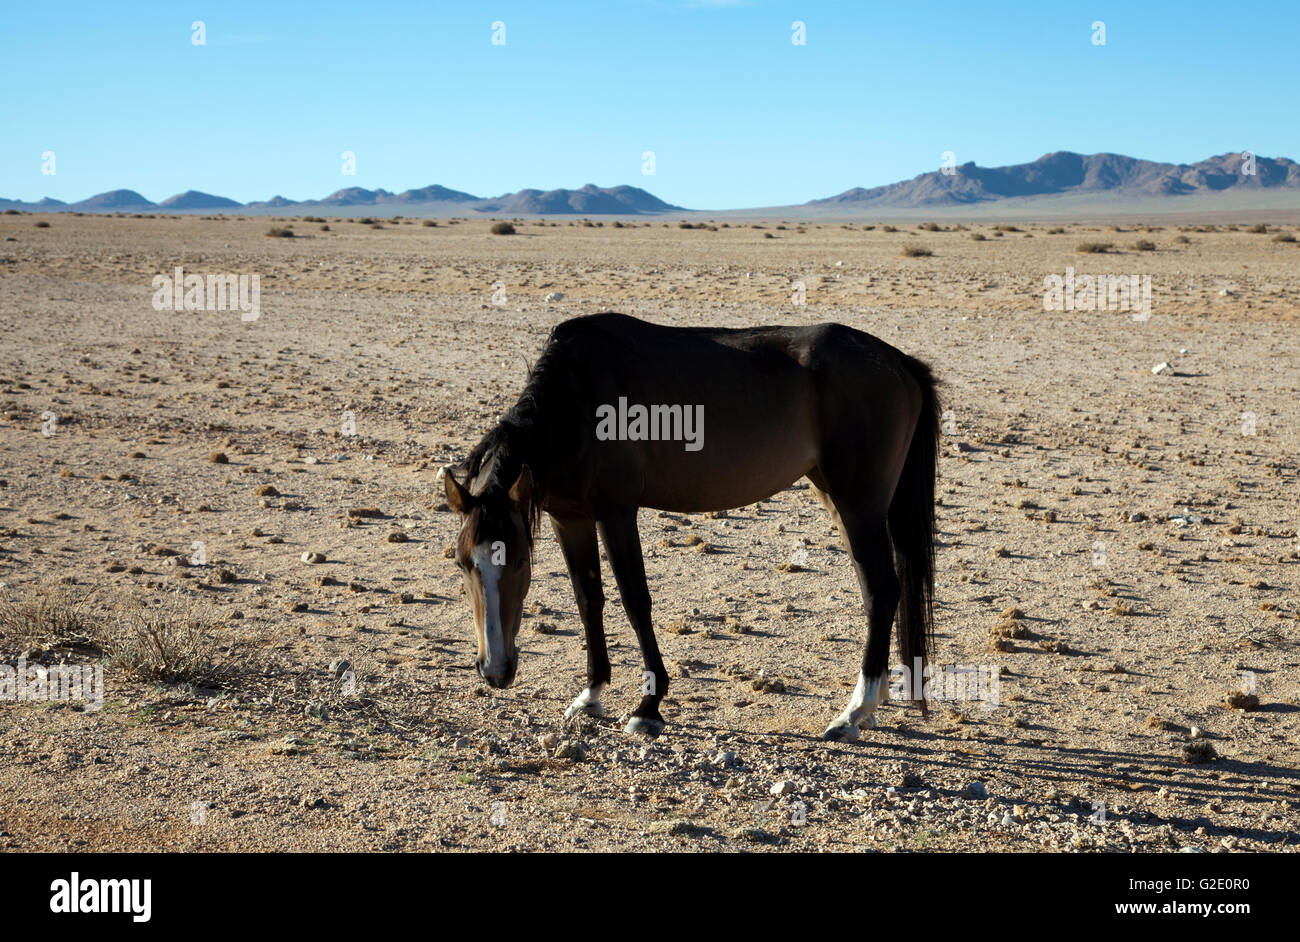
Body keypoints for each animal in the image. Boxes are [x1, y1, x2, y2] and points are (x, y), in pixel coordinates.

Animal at [441, 312, 939, 741]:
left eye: (518, 562)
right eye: (462, 563)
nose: (495, 671)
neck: (577, 398)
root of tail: (900, 361)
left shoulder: (616, 512)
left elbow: (635, 601)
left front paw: (649, 706)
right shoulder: (571, 518)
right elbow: (588, 600)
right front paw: (591, 695)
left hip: (859, 507)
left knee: (881, 590)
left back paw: (853, 713)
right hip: (838, 499)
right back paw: (871, 705)